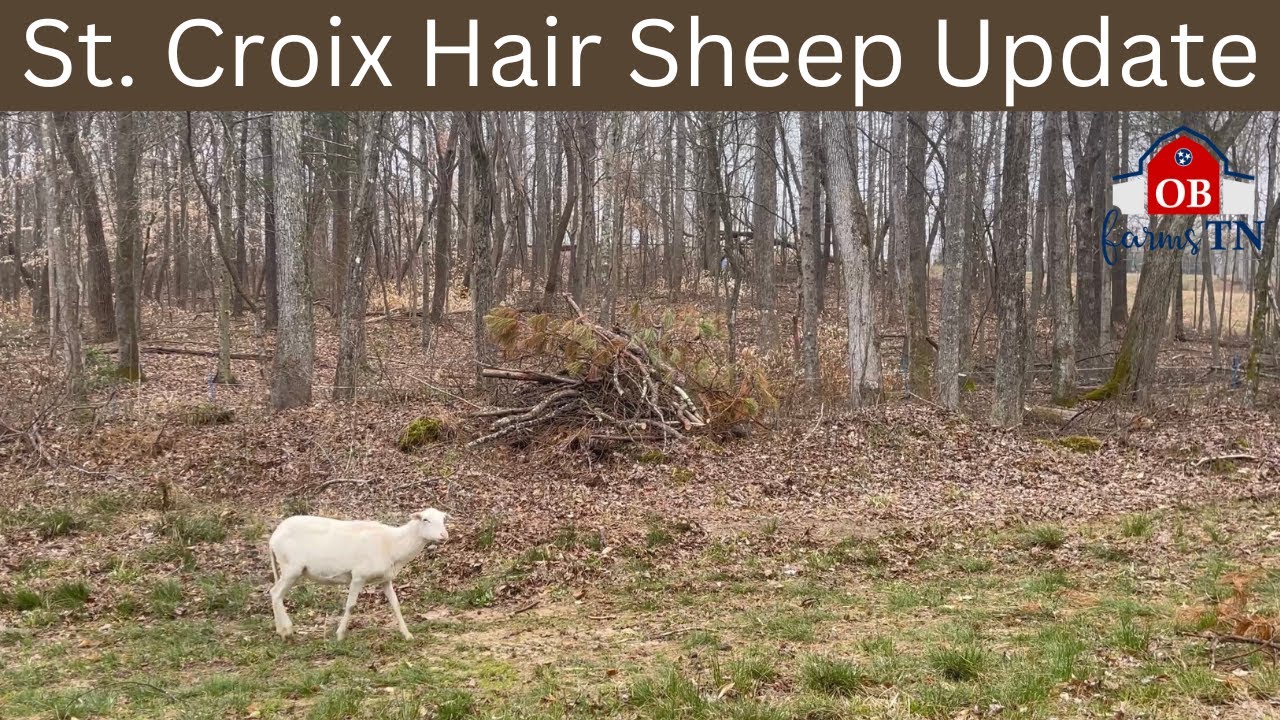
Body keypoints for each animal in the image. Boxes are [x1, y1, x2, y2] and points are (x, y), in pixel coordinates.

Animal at [267, 508, 449, 641]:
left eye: (443, 519)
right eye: (425, 519)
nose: (444, 535)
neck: (392, 544)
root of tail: (273, 537)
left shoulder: (386, 579)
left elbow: (396, 605)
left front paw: (407, 634)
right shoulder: (358, 576)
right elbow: (351, 605)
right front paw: (340, 635)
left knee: (275, 593)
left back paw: (280, 629)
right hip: (291, 568)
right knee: (275, 593)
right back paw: (286, 631)